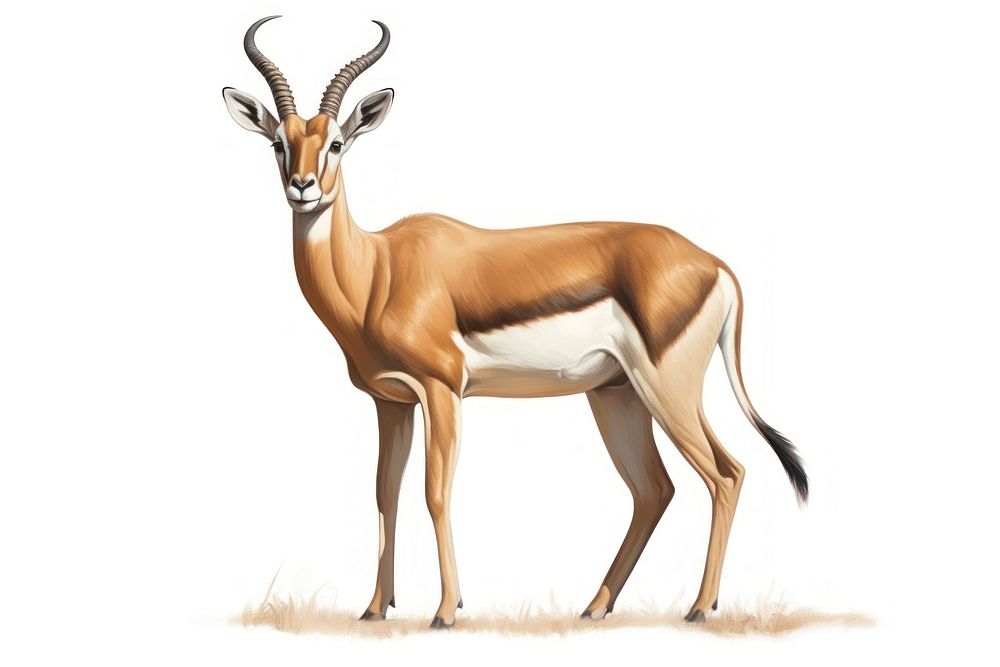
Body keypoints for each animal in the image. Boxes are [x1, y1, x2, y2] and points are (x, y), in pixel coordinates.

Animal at [223, 16, 808, 629]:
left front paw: (446, 611)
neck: (378, 271)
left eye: (336, 142)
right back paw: (595, 606)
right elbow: (385, 494)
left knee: (725, 474)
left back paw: (697, 608)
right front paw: (375, 609)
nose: (303, 186)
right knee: (655, 489)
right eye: (279, 142)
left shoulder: (441, 390)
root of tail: (715, 264)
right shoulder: (391, 402)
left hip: (666, 390)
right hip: (617, 395)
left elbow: (436, 492)